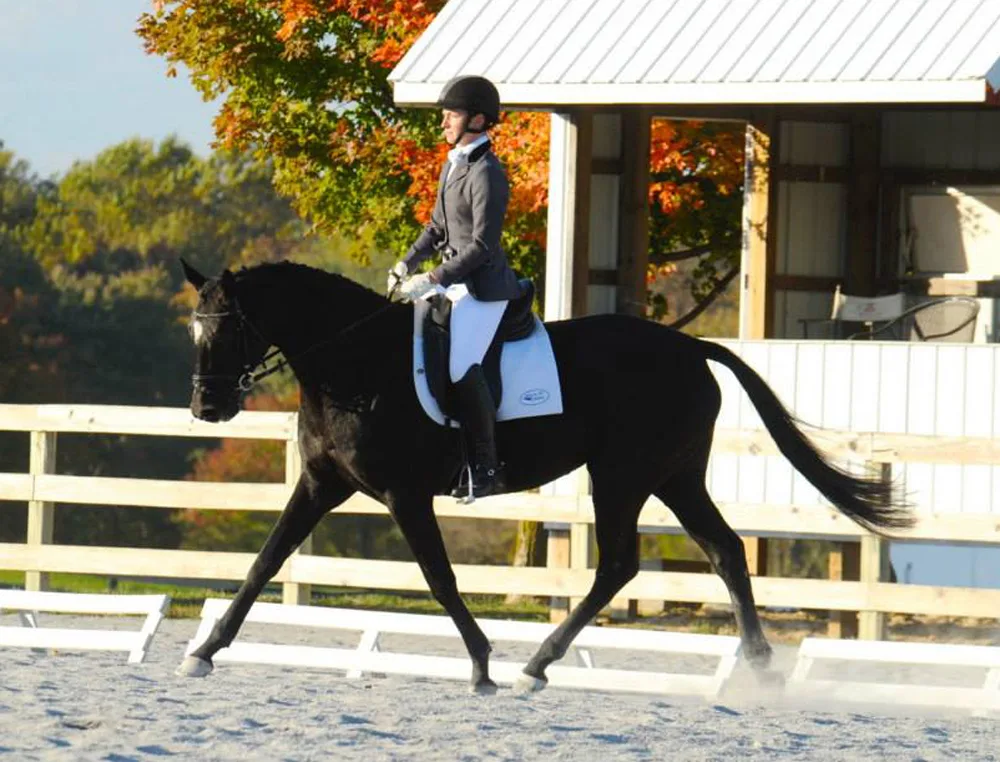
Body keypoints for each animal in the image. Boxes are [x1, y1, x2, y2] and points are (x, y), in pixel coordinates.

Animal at [176, 259, 911, 693]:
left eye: (229, 330)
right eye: (193, 330)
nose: (207, 409)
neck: (356, 359)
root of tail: (689, 346)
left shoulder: (403, 493)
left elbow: (439, 578)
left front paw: (481, 665)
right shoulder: (321, 484)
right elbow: (264, 562)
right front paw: (205, 649)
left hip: (622, 473)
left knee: (619, 564)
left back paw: (536, 666)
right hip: (674, 475)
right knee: (724, 549)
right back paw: (758, 669)